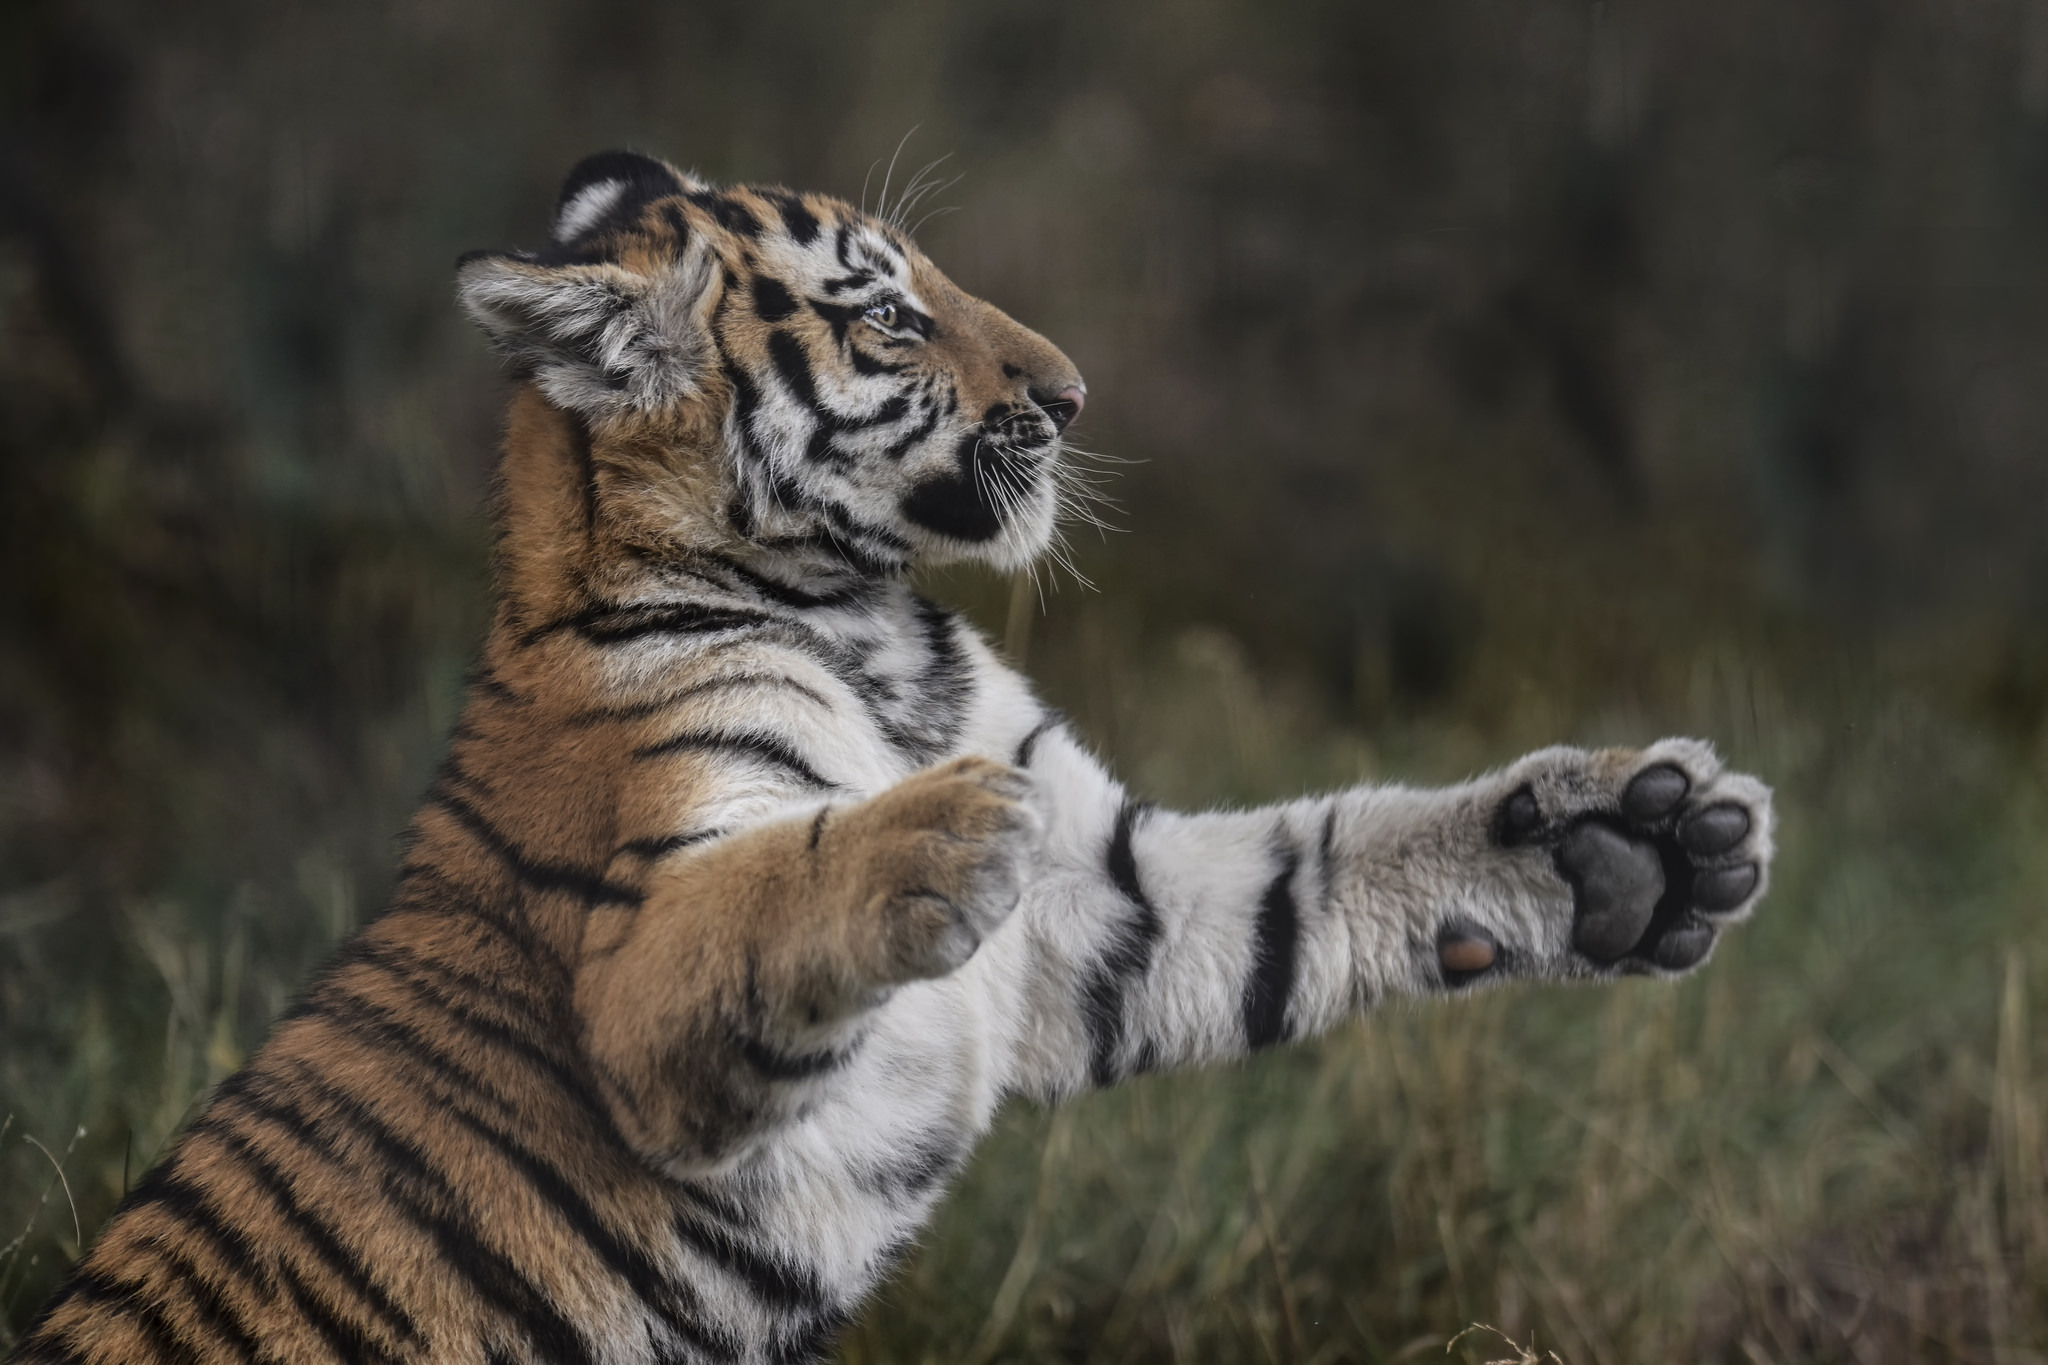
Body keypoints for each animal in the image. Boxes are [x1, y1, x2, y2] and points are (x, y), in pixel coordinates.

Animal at [11, 149, 1775, 1365]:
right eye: (887, 315)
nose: (1075, 394)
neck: (873, 626)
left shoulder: (1105, 912)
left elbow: (1335, 864)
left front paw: (1641, 845)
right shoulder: (642, 992)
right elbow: (769, 895)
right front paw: (943, 827)